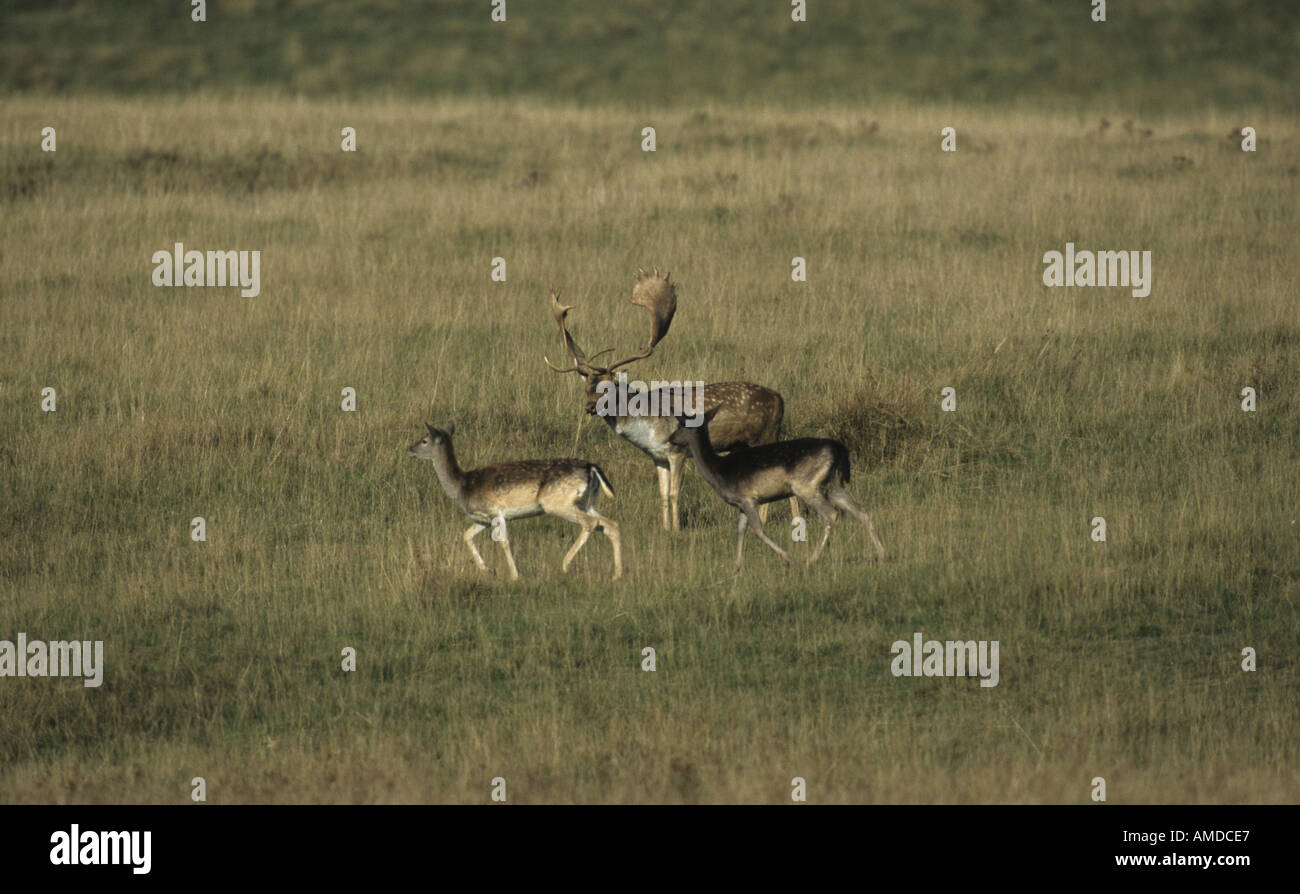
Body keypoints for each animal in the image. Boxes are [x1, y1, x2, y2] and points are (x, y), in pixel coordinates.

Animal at [407, 422, 623, 580]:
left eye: (424, 440)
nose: (409, 448)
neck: (462, 487)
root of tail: (592, 468)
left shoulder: (495, 511)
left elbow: (504, 541)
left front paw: (514, 575)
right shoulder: (482, 519)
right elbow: (466, 535)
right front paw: (489, 570)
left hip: (556, 503)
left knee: (591, 522)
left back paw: (565, 564)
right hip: (587, 502)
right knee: (611, 524)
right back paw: (616, 574)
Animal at [544, 268, 797, 531]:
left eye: (608, 387)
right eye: (586, 388)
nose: (589, 407)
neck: (647, 426)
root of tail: (780, 399)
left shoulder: (678, 451)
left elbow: (675, 493)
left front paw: (676, 529)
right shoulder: (658, 456)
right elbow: (663, 494)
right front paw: (665, 528)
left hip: (765, 436)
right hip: (743, 443)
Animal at [667, 408, 886, 571]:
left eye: (681, 424)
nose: (670, 438)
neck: (719, 471)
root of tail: (839, 449)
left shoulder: (748, 498)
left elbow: (758, 530)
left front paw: (789, 558)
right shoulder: (741, 503)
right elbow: (740, 530)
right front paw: (736, 567)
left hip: (806, 486)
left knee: (831, 514)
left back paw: (811, 560)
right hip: (834, 485)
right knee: (861, 510)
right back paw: (882, 553)